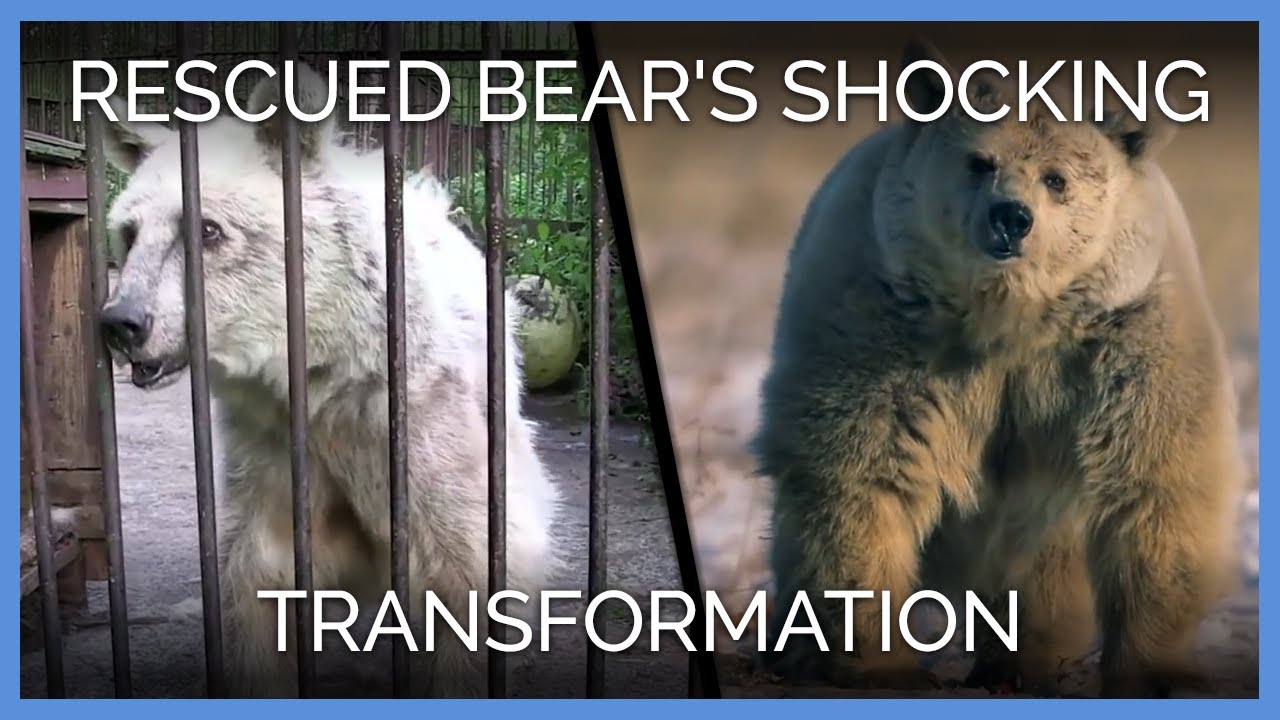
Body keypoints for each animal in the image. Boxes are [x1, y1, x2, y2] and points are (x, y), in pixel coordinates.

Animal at [751, 38, 1247, 698]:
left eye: (1057, 178)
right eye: (979, 161)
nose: (1011, 217)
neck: (1010, 319)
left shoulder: (1125, 331)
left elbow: (1156, 478)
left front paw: (1158, 670)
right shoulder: (883, 321)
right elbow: (862, 465)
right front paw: (878, 662)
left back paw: (1022, 661)